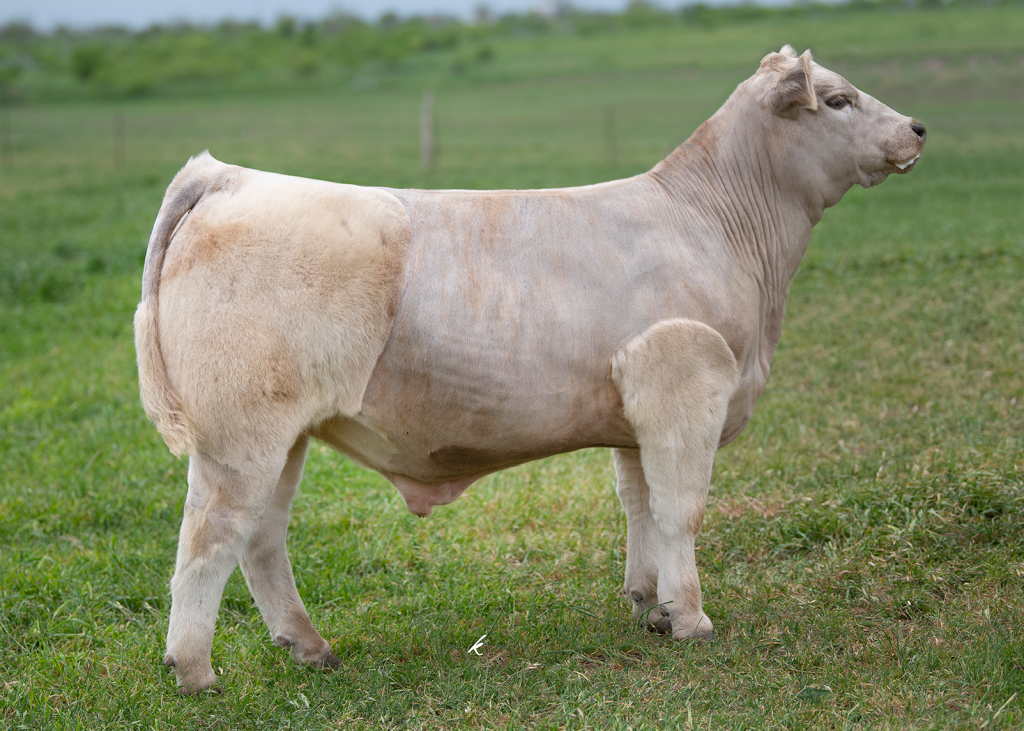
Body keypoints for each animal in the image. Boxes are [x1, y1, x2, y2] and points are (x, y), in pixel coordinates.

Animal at [135, 46, 925, 693]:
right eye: (838, 99)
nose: (917, 128)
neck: (717, 224)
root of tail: (228, 176)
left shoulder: (635, 415)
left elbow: (639, 503)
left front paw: (651, 605)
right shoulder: (683, 384)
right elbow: (682, 507)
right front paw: (693, 618)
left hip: (283, 435)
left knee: (261, 537)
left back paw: (309, 646)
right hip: (242, 436)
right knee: (211, 537)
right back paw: (195, 670)